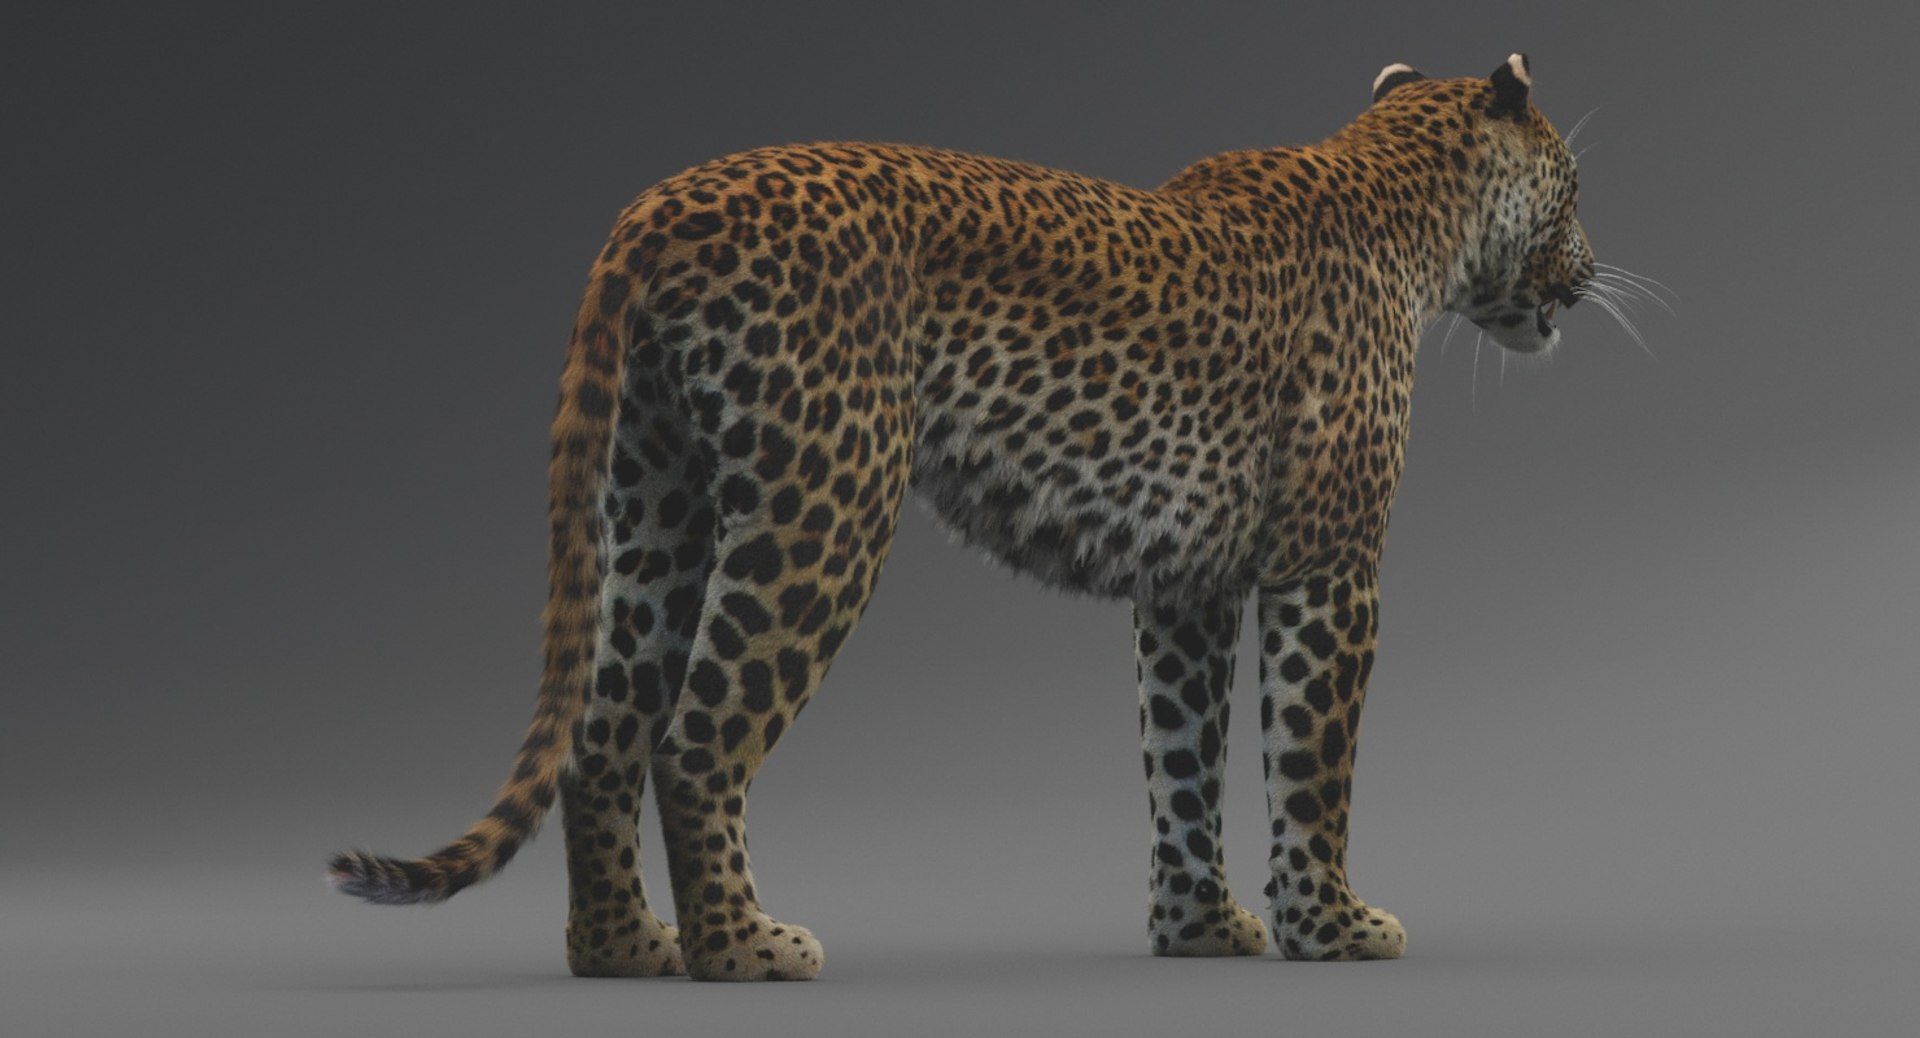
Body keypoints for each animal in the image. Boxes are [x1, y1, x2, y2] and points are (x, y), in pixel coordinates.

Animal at [328, 54, 1595, 979]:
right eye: (1577, 186)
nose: (1589, 268)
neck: (1412, 211)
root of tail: (659, 205)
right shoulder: (1328, 569)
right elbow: (1313, 760)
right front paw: (1332, 930)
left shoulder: (1186, 585)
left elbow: (1185, 761)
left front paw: (1199, 932)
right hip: (822, 505)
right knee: (695, 739)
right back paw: (742, 950)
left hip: (658, 502)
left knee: (604, 733)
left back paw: (624, 950)